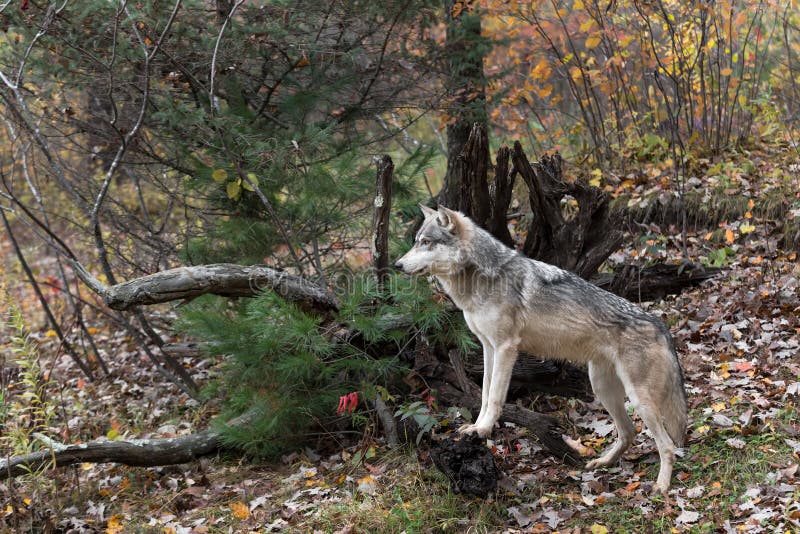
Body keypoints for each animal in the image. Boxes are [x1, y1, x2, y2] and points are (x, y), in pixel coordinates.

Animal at [395, 205, 687, 495]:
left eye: (426, 242)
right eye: (416, 242)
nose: (397, 265)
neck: (481, 276)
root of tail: (661, 325)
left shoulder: (506, 348)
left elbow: (495, 397)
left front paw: (484, 430)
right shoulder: (488, 348)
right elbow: (484, 394)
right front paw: (476, 428)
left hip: (638, 399)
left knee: (668, 445)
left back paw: (661, 486)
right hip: (602, 389)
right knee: (629, 433)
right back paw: (602, 463)